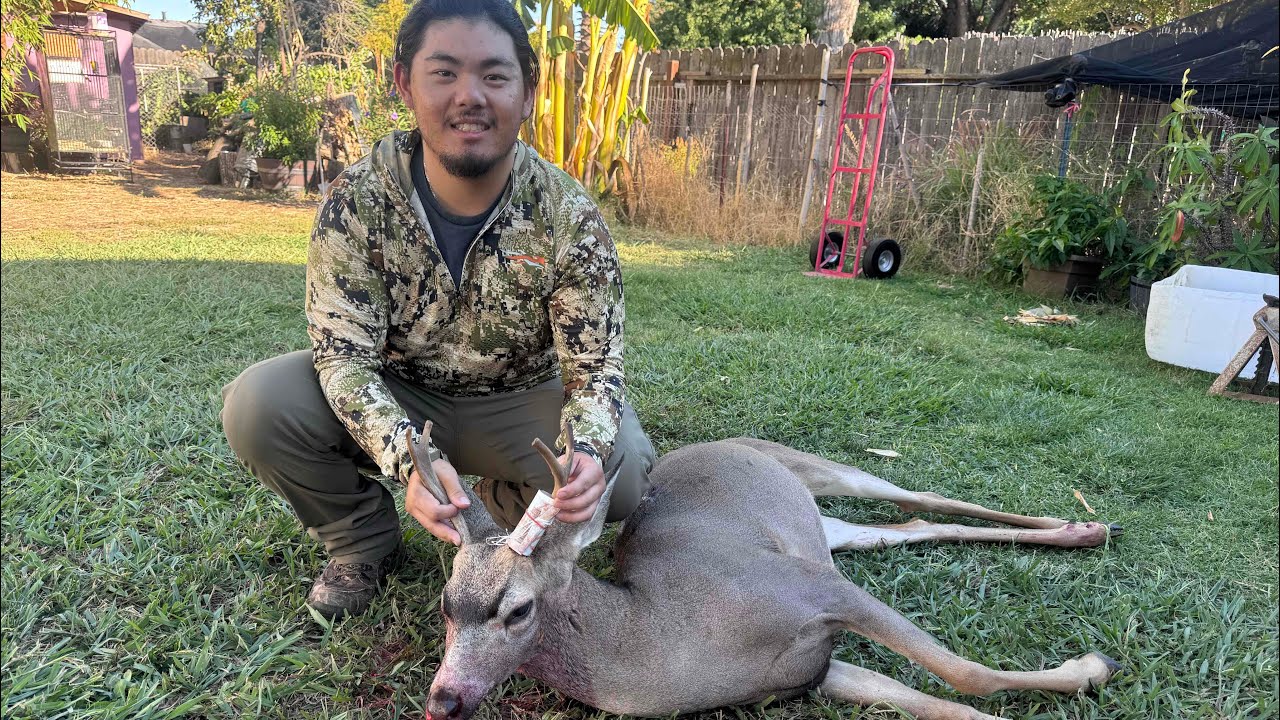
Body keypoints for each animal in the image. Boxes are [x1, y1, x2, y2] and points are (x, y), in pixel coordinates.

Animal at [406, 422, 1123, 720]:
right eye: (446, 604)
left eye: (517, 608)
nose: (443, 700)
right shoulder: (813, 670)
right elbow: (947, 707)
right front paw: (1086, 671)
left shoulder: (811, 588)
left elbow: (967, 675)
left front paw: (1093, 665)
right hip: (825, 531)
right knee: (905, 528)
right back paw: (1081, 530)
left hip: (810, 468)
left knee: (918, 495)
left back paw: (1089, 525)